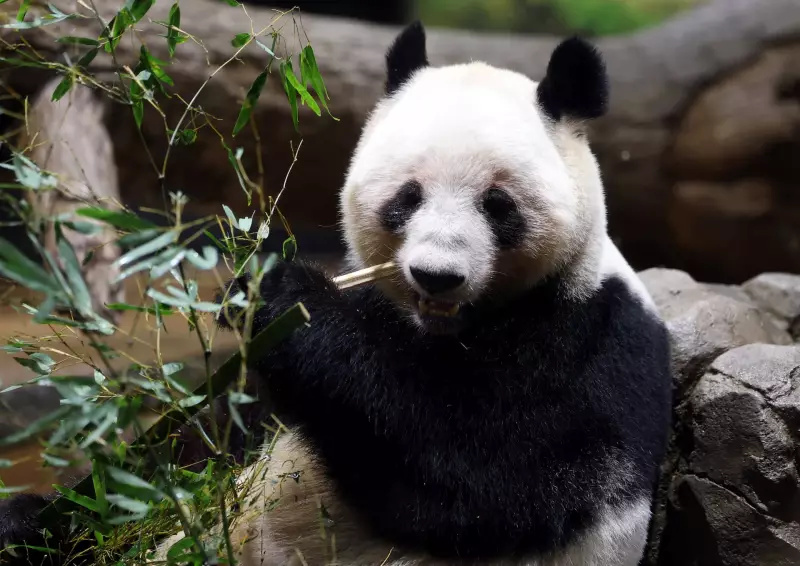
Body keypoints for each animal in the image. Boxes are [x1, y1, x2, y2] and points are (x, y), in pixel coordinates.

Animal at [0, 21, 672, 566]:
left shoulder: (582, 342)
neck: (443, 329)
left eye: (498, 205)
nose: (436, 276)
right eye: (407, 197)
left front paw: (286, 295)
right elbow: (201, 439)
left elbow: (476, 476)